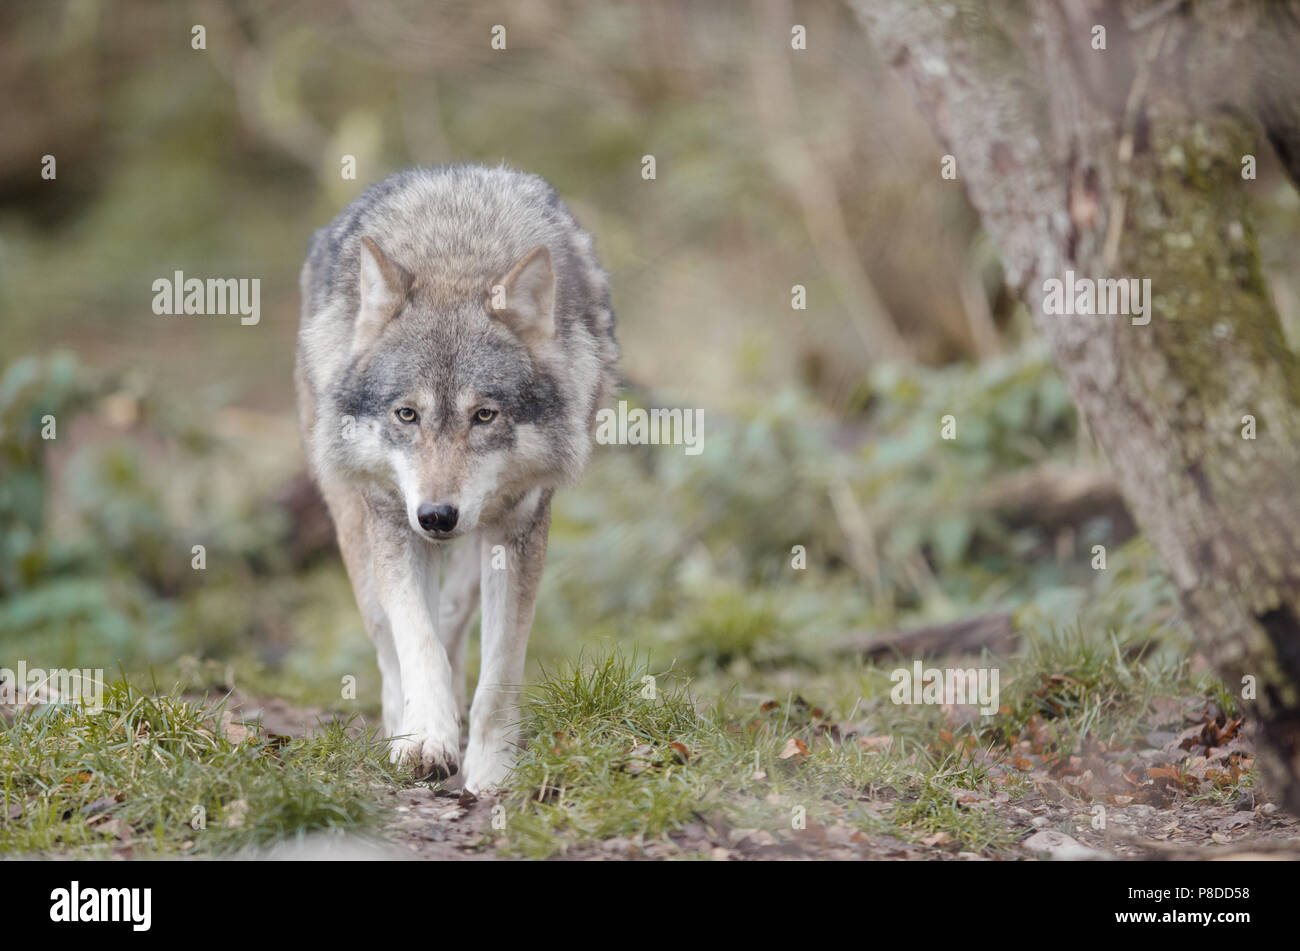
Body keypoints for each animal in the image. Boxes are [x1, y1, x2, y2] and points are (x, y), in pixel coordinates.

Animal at [296, 165, 618, 794]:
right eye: (407, 414)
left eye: (484, 415)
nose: (437, 517)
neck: (456, 256)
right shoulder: (391, 518)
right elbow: (414, 641)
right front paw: (424, 740)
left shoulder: (519, 530)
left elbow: (500, 673)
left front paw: (490, 775)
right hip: (355, 524)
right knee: (390, 638)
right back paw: (404, 726)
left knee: (453, 618)